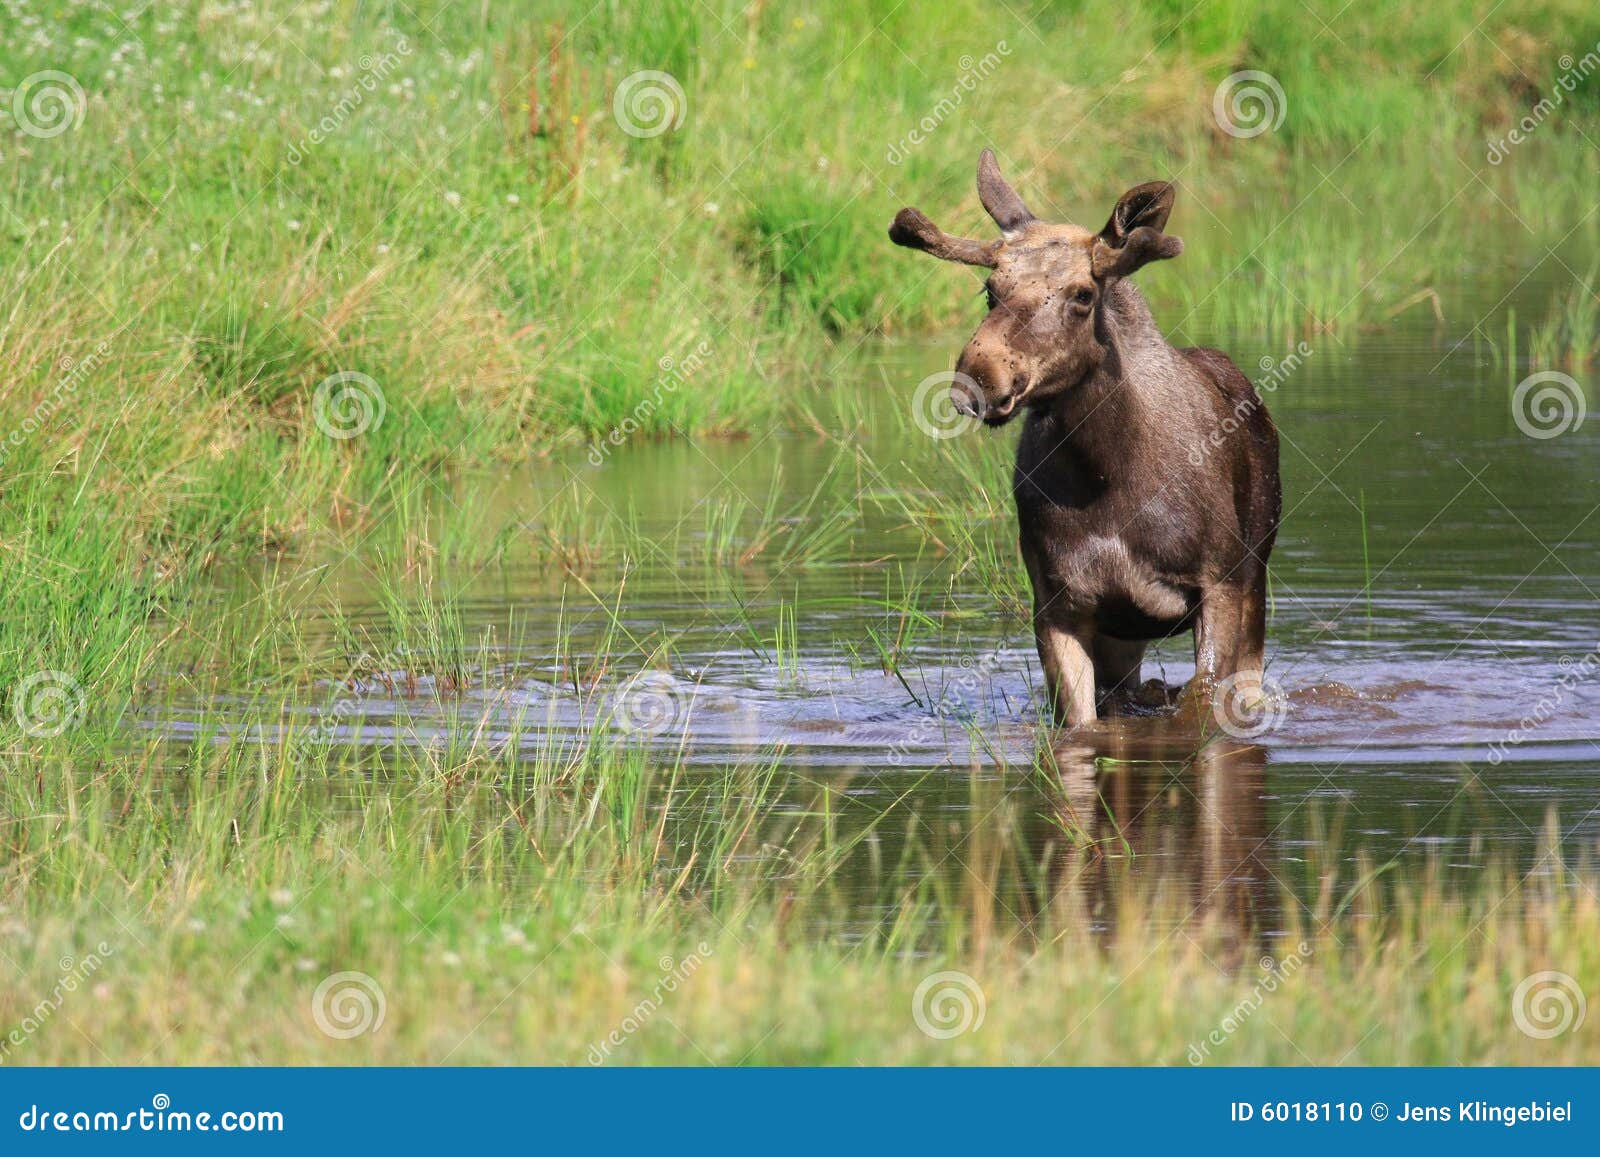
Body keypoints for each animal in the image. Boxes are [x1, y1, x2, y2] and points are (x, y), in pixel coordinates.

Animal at [890, 150, 1281, 728]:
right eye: (990, 290)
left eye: (1083, 294)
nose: (979, 378)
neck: (1106, 472)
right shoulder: (1060, 604)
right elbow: (1081, 723)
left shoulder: (1221, 583)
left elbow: (1202, 702)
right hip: (1122, 633)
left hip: (1257, 572)